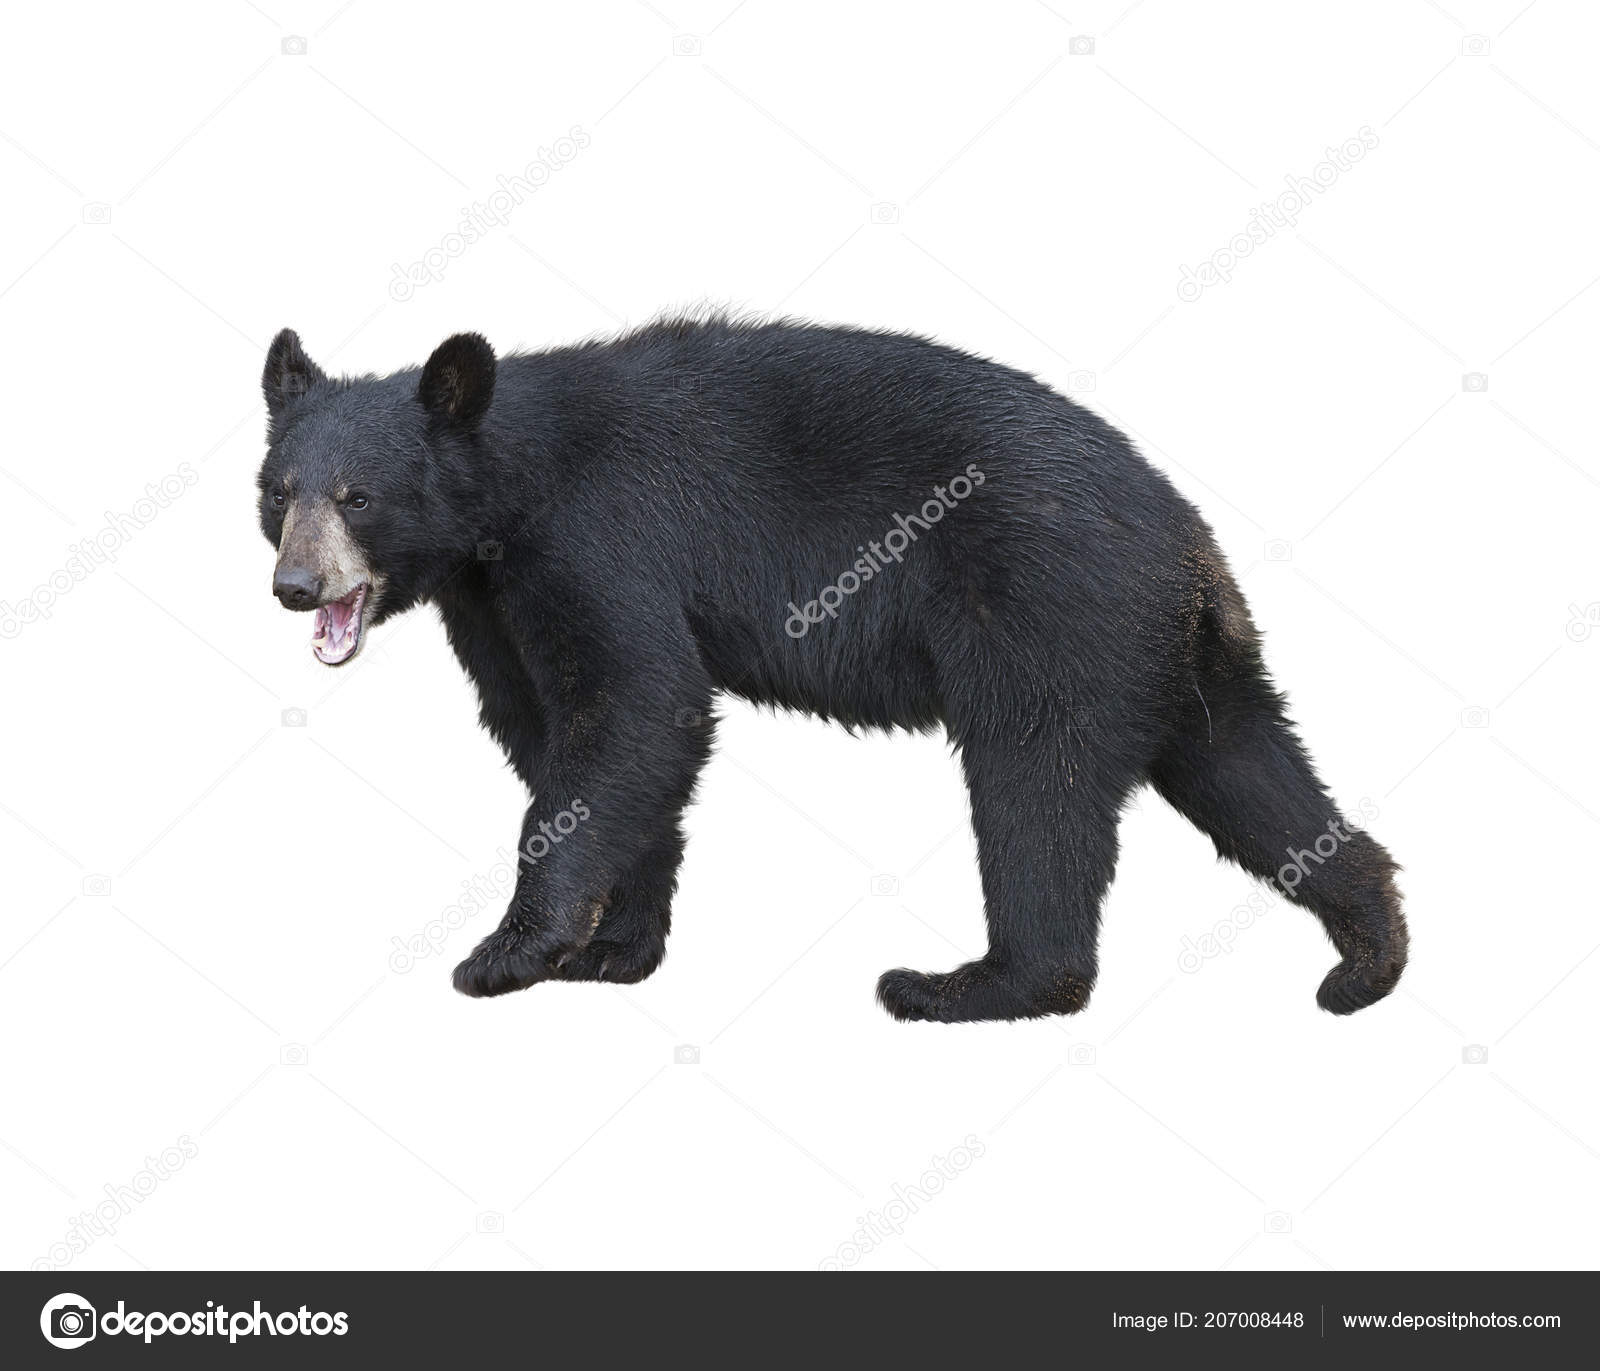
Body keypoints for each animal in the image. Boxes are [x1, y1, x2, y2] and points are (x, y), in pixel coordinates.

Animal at [257, 315, 1407, 1022]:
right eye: (278, 490)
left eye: (359, 496)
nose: (297, 588)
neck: (506, 489)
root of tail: (1192, 545)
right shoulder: (491, 601)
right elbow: (563, 735)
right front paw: (613, 947)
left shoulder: (602, 538)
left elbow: (640, 704)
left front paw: (507, 952)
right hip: (1171, 661)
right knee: (1249, 773)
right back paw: (1367, 950)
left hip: (1046, 614)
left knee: (1034, 788)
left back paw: (966, 985)